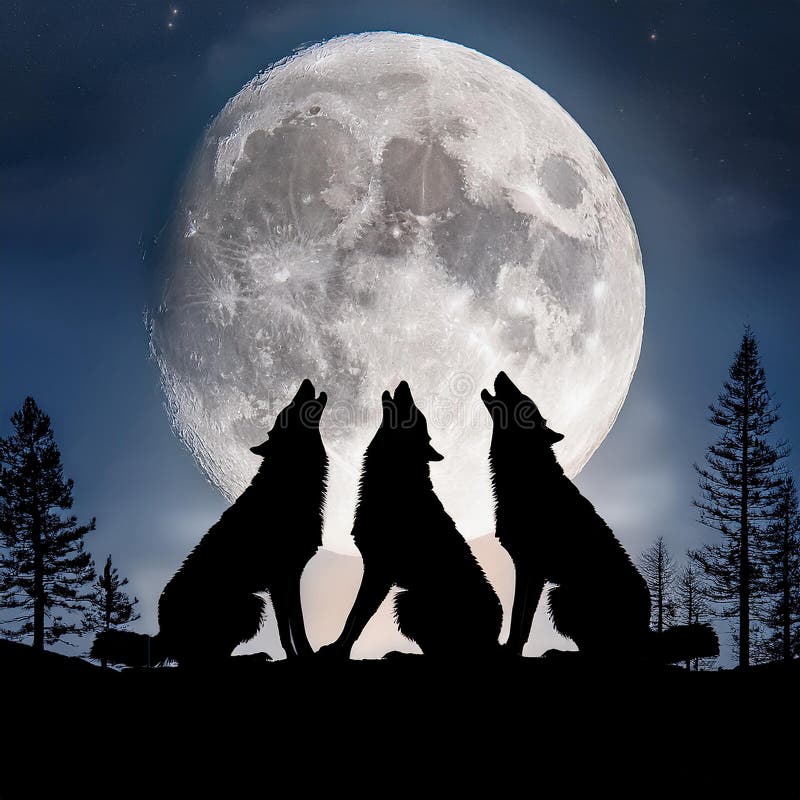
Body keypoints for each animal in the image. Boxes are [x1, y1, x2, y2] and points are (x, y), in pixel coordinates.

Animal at [91, 379, 328, 667]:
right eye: (289, 408)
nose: (305, 381)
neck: (291, 481)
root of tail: (163, 634)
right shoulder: (283, 578)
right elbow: (295, 628)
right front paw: (306, 656)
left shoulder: (286, 579)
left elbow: (289, 629)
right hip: (247, 605)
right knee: (206, 659)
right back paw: (249, 658)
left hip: (250, 605)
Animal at [318, 381, 502, 658]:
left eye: (415, 414)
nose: (404, 383)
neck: (397, 481)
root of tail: (495, 641)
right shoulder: (373, 566)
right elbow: (353, 616)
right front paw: (336, 646)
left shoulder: (379, 570)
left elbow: (357, 617)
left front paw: (340, 651)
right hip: (406, 601)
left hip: (410, 600)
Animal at [481, 371, 718, 664]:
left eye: (524, 400)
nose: (502, 373)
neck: (526, 474)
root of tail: (645, 635)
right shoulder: (525, 566)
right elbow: (520, 617)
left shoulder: (531, 567)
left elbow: (520, 619)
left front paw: (511, 650)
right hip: (562, 596)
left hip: (563, 595)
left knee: (603, 653)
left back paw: (562, 654)